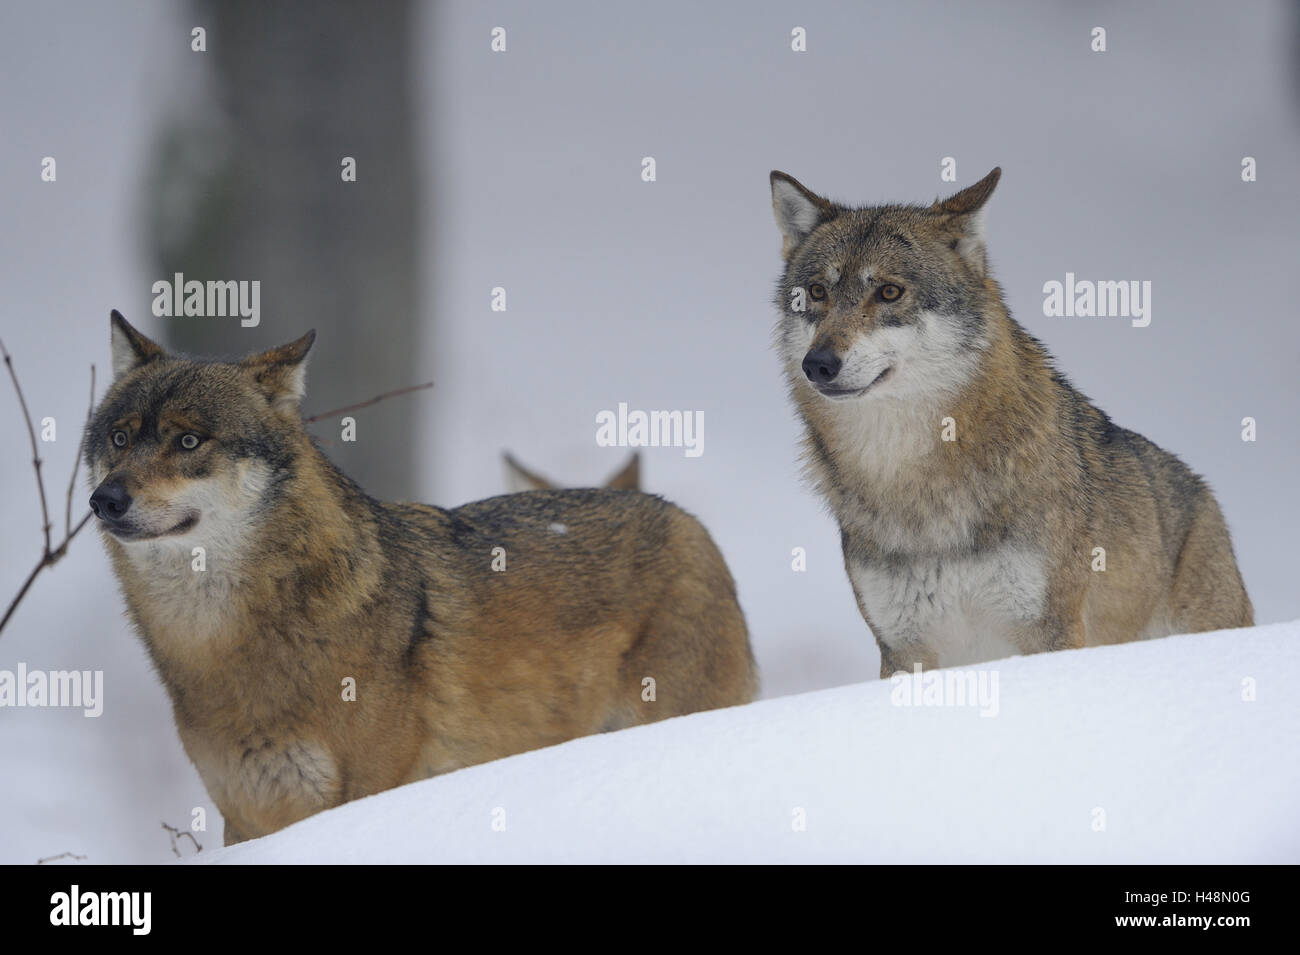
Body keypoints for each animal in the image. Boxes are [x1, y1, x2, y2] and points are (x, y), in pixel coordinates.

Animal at [86, 311, 756, 843]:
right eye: (118, 438)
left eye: (188, 441)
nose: (104, 500)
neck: (219, 646)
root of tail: (683, 519)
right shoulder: (246, 818)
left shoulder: (364, 794)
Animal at [769, 168, 1252, 675]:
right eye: (817, 292)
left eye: (889, 291)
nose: (818, 364)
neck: (911, 481)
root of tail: (1204, 494)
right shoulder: (903, 648)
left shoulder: (1049, 630)